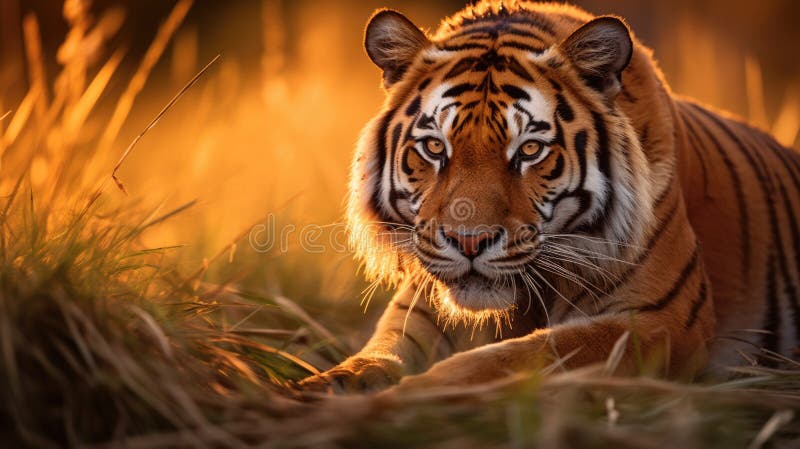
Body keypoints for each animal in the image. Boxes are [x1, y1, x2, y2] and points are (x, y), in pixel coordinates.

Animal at [299, 0, 800, 393]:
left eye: (529, 150)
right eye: (435, 148)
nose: (468, 242)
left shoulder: (661, 321)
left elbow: (505, 360)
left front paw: (409, 397)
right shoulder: (421, 307)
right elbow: (372, 357)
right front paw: (319, 391)